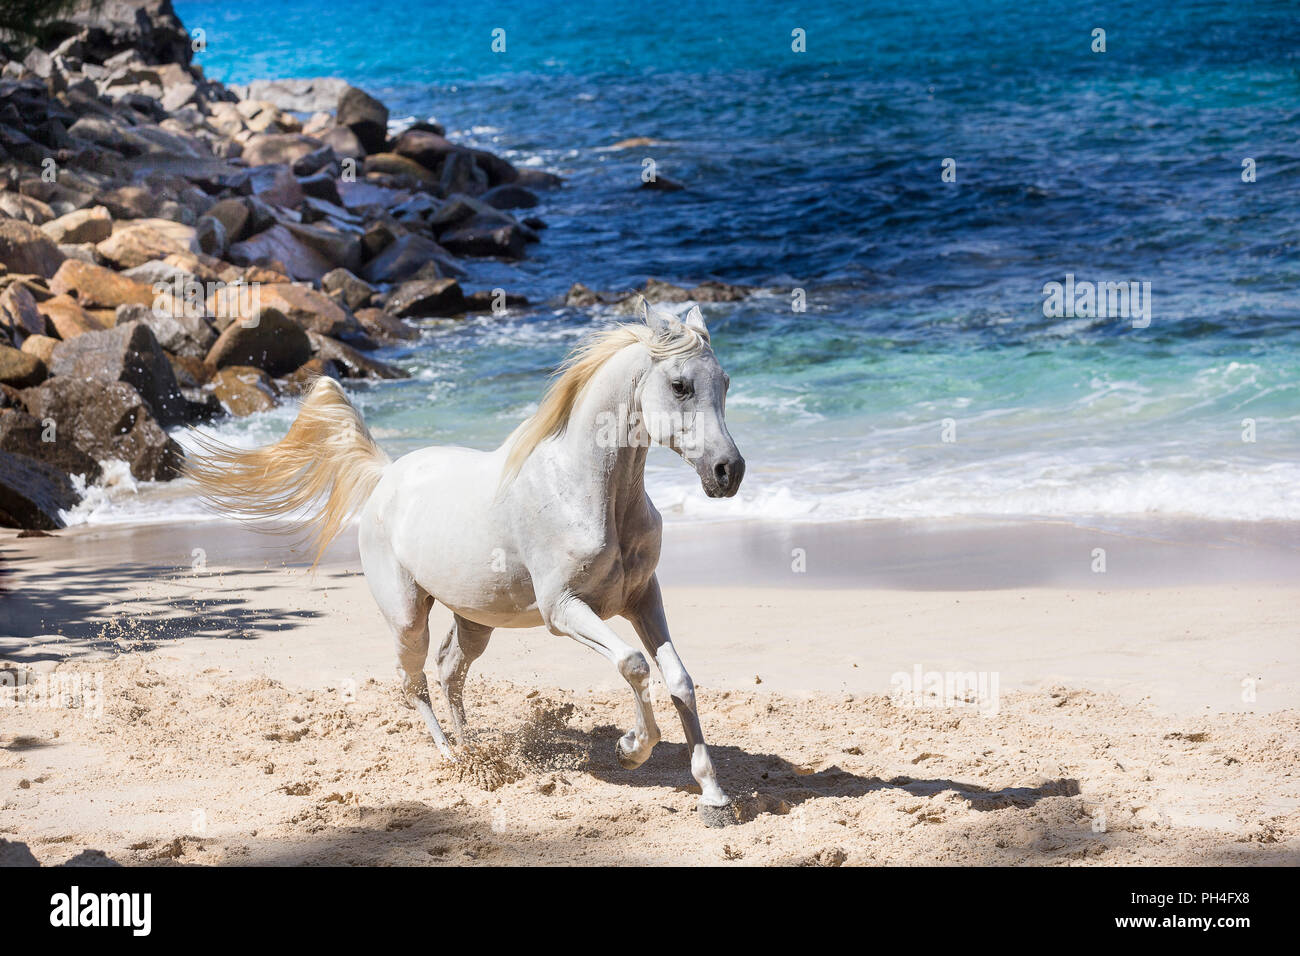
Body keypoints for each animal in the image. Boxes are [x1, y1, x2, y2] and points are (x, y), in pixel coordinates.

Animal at [185, 299, 747, 825]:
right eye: (679, 386)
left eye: (723, 382)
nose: (729, 472)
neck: (583, 489)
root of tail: (387, 476)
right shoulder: (563, 611)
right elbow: (633, 664)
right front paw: (631, 749)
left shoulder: (642, 599)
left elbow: (679, 680)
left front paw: (714, 798)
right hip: (408, 618)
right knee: (412, 681)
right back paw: (453, 758)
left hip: (476, 620)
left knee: (449, 671)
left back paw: (477, 753)